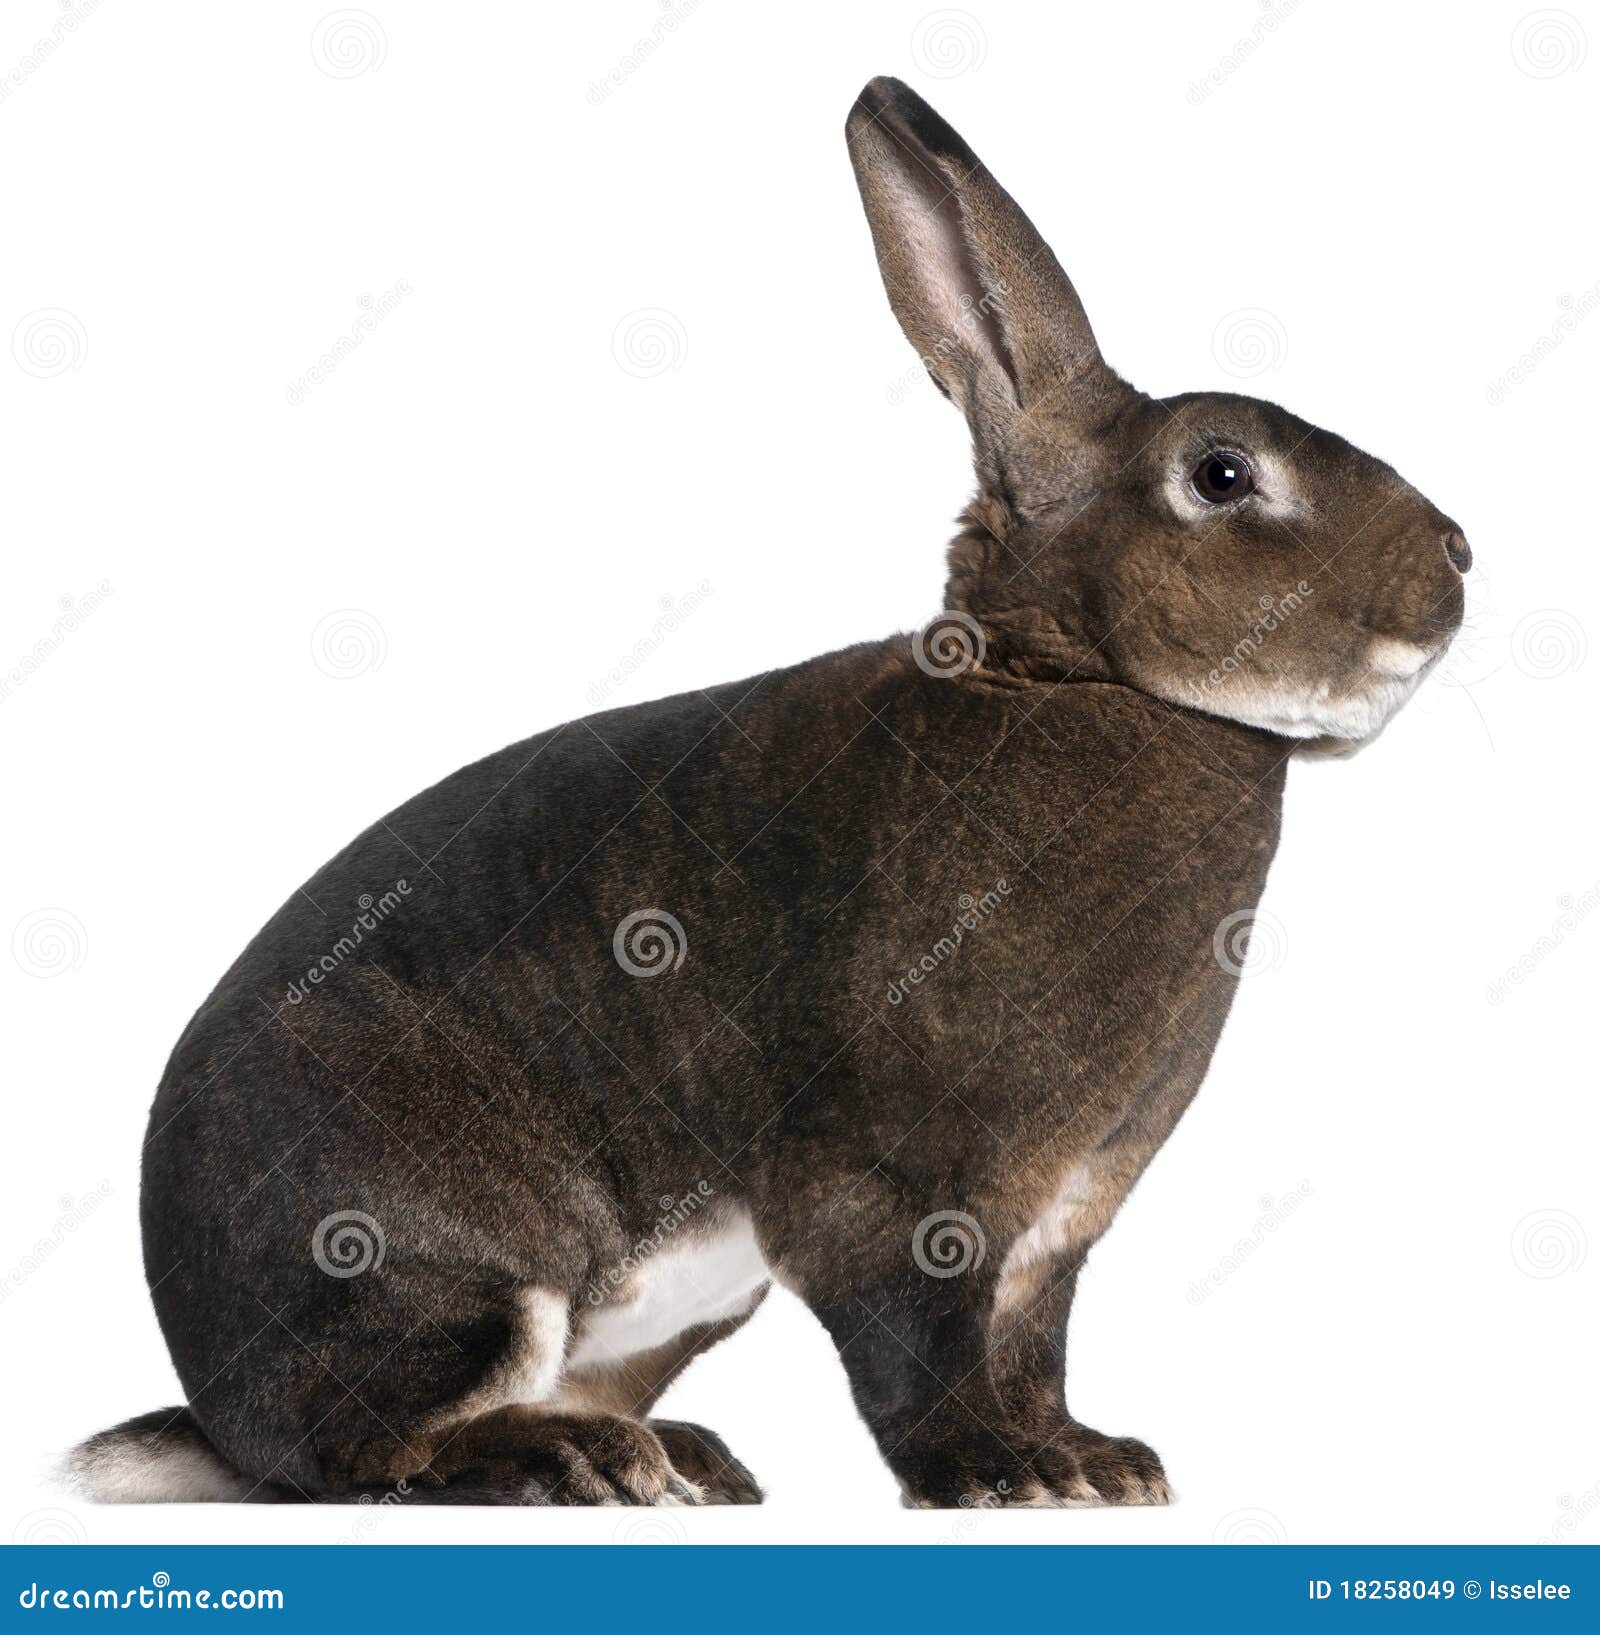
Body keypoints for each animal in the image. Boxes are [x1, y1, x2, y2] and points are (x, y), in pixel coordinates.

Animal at [69, 76, 1468, 1510]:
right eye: (1222, 473)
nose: (1458, 560)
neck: (1069, 678)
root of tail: (213, 1402)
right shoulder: (893, 1197)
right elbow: (916, 1349)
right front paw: (996, 1475)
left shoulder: (1058, 1230)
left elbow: (1033, 1346)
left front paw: (1096, 1463)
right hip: (430, 1265)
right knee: (360, 1451)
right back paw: (571, 1459)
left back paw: (683, 1457)